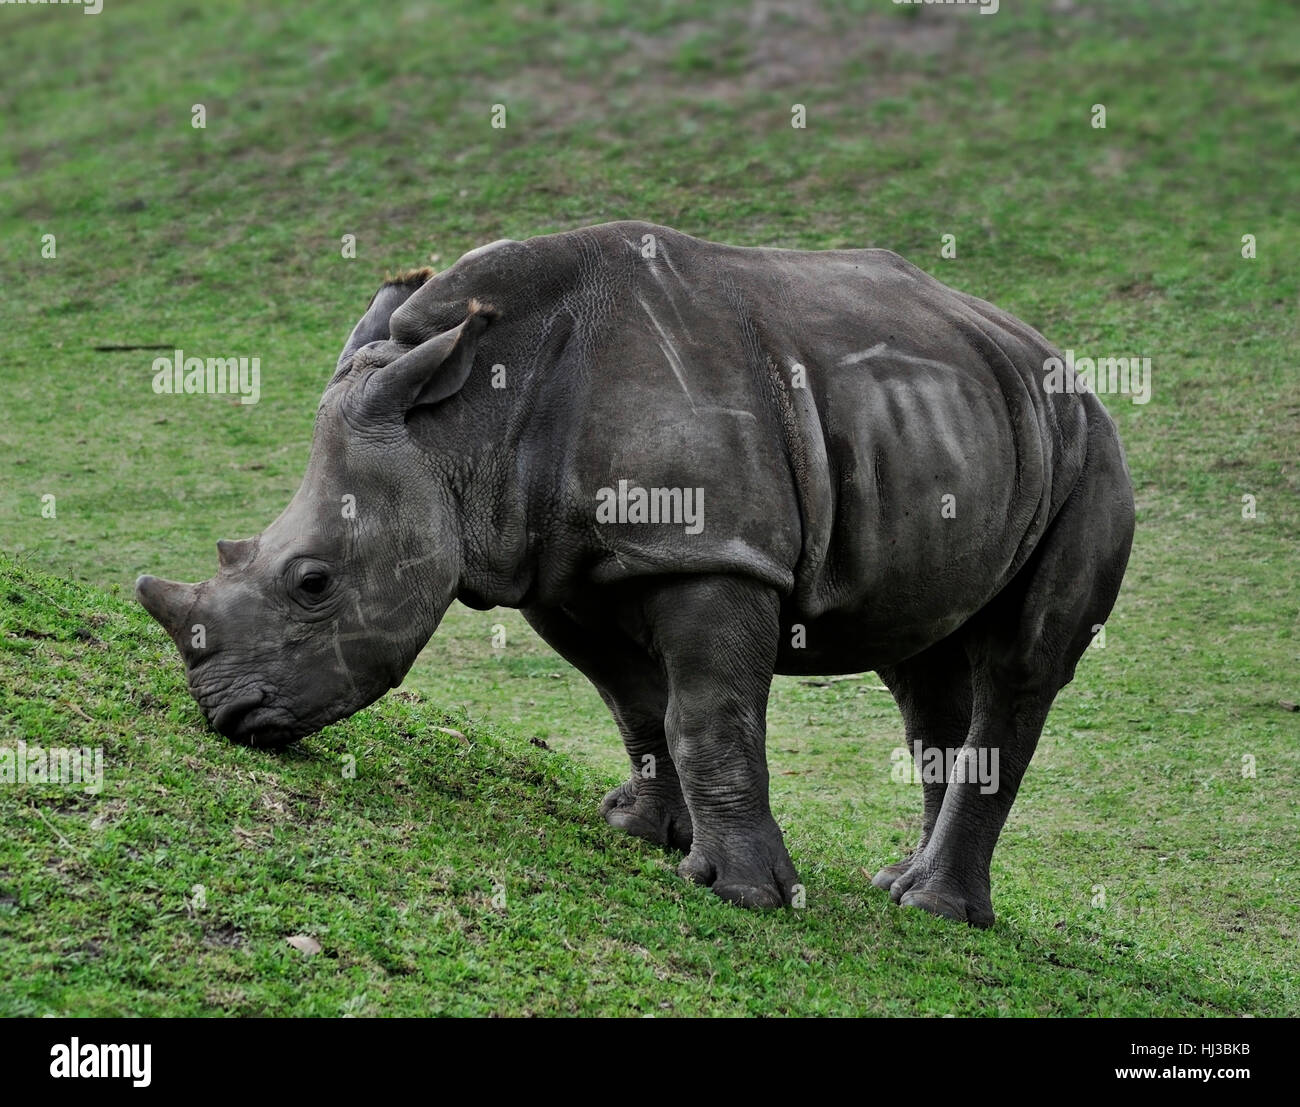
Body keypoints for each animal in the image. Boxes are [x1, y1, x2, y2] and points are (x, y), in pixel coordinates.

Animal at [136, 221, 1134, 925]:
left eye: (312, 582)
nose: (226, 715)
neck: (458, 427)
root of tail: (1066, 367)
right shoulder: (558, 568)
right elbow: (637, 704)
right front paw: (643, 833)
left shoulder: (712, 551)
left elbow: (707, 715)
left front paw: (742, 893)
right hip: (966, 423)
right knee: (920, 666)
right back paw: (899, 883)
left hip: (1091, 451)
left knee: (1019, 665)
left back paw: (937, 909)